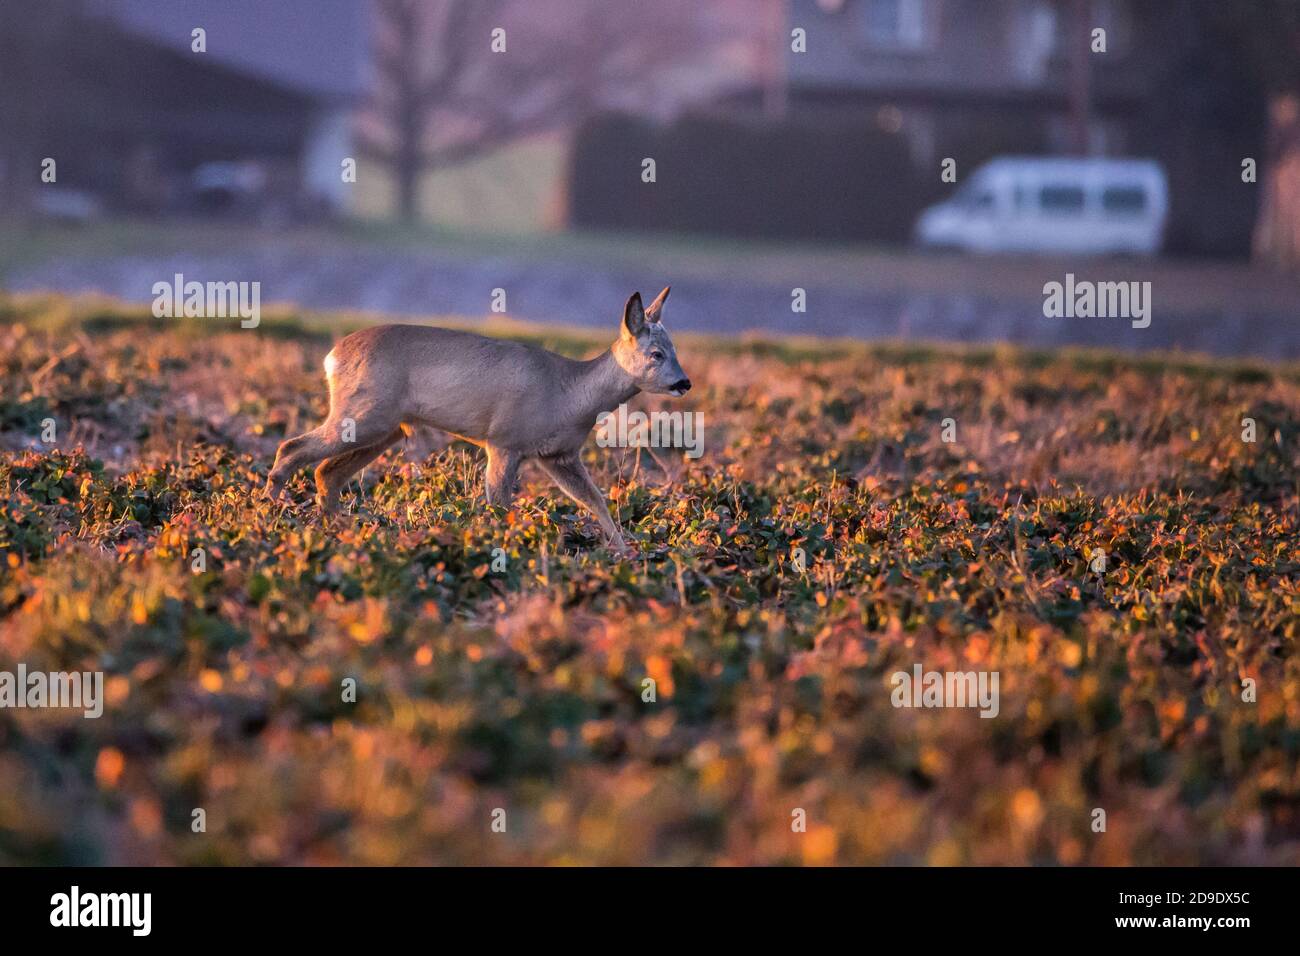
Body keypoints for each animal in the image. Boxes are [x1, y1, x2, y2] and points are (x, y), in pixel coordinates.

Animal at [264, 287, 690, 555]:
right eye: (655, 354)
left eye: (674, 350)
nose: (684, 382)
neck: (569, 393)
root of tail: (331, 356)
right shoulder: (503, 441)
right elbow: (499, 505)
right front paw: (501, 548)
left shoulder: (559, 456)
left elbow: (596, 500)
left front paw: (625, 552)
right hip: (363, 414)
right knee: (291, 447)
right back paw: (272, 511)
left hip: (383, 427)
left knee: (325, 471)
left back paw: (335, 530)